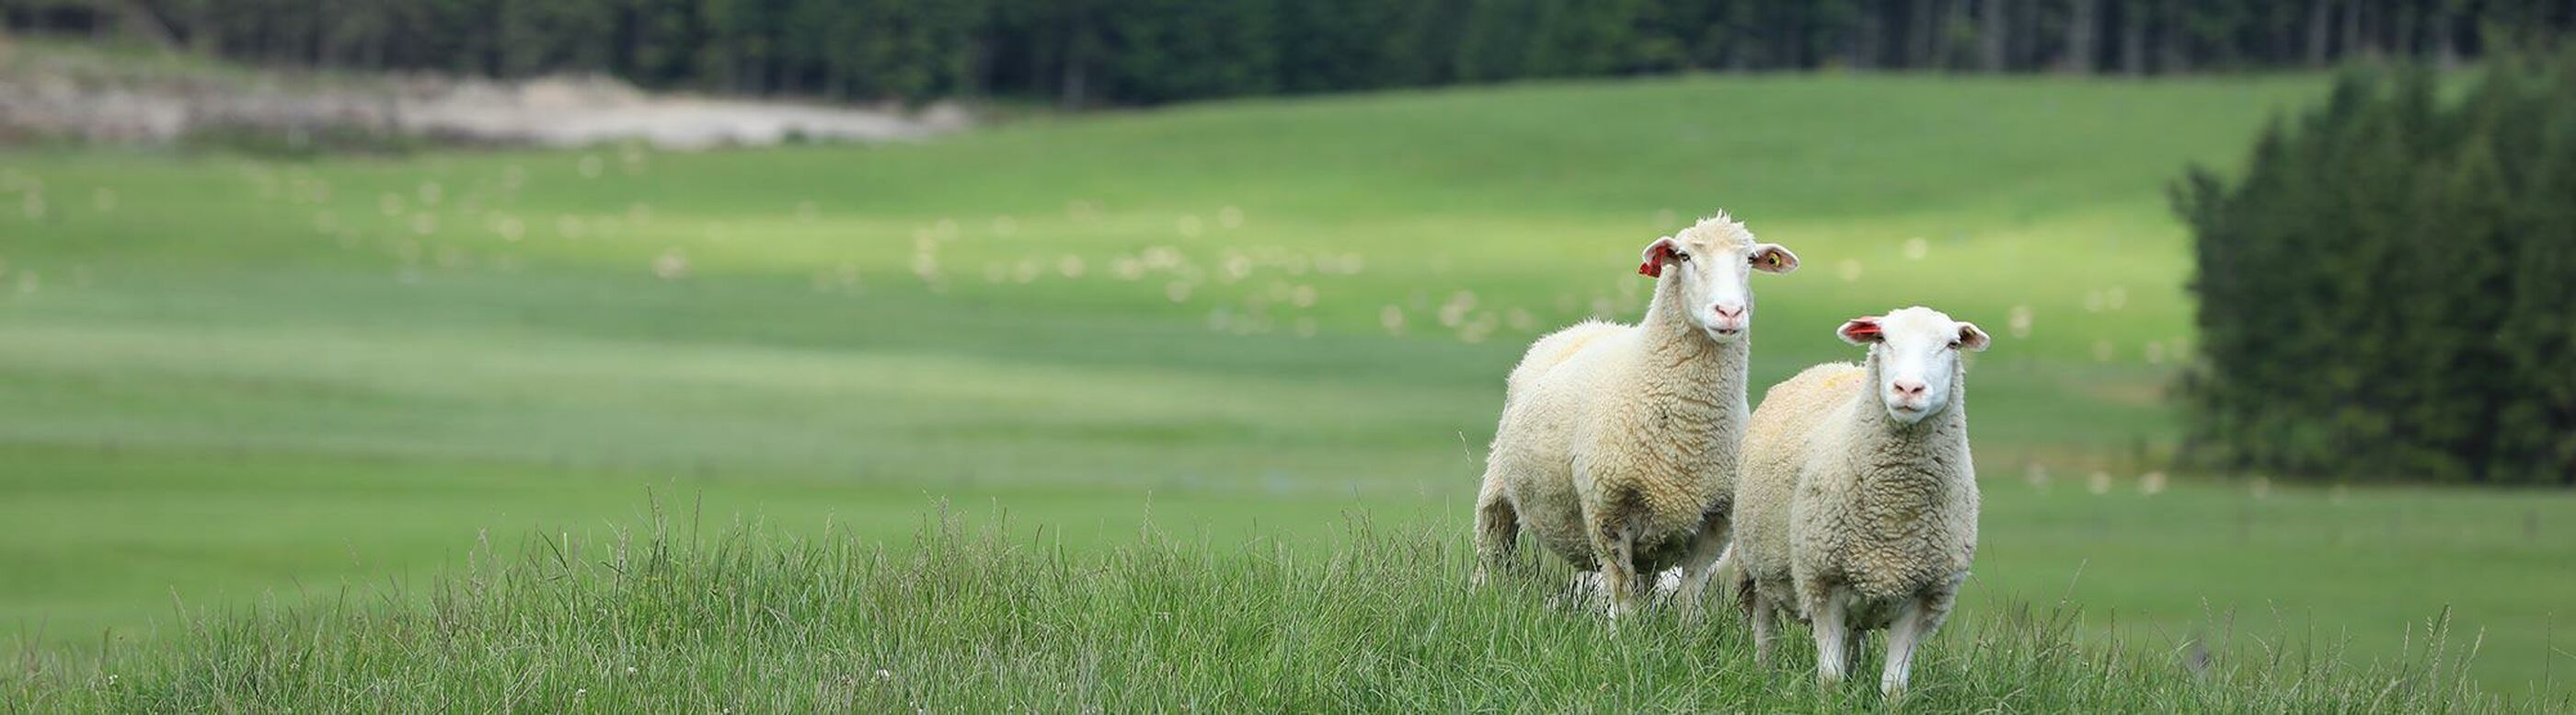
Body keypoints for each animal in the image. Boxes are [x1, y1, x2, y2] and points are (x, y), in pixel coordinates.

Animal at [1471, 213, 1798, 618]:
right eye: (1685, 256)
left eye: (1751, 259)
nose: (1730, 312)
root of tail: (1588, 325)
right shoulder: (1607, 514)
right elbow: (1623, 597)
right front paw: (1623, 633)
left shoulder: (1716, 520)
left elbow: (1690, 597)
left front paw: (1684, 632)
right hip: (1497, 488)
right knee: (1491, 553)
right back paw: (1483, 598)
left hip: (1654, 541)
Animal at [1731, 306, 1990, 695]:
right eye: (1882, 338)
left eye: (1952, 344)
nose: (1908, 388)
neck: (1896, 512)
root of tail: (1831, 366)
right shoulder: (1822, 583)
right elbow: (1830, 677)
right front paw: (1830, 699)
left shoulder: (1925, 597)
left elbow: (1894, 687)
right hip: (1757, 566)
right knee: (1765, 630)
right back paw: (1766, 678)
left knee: (1854, 639)